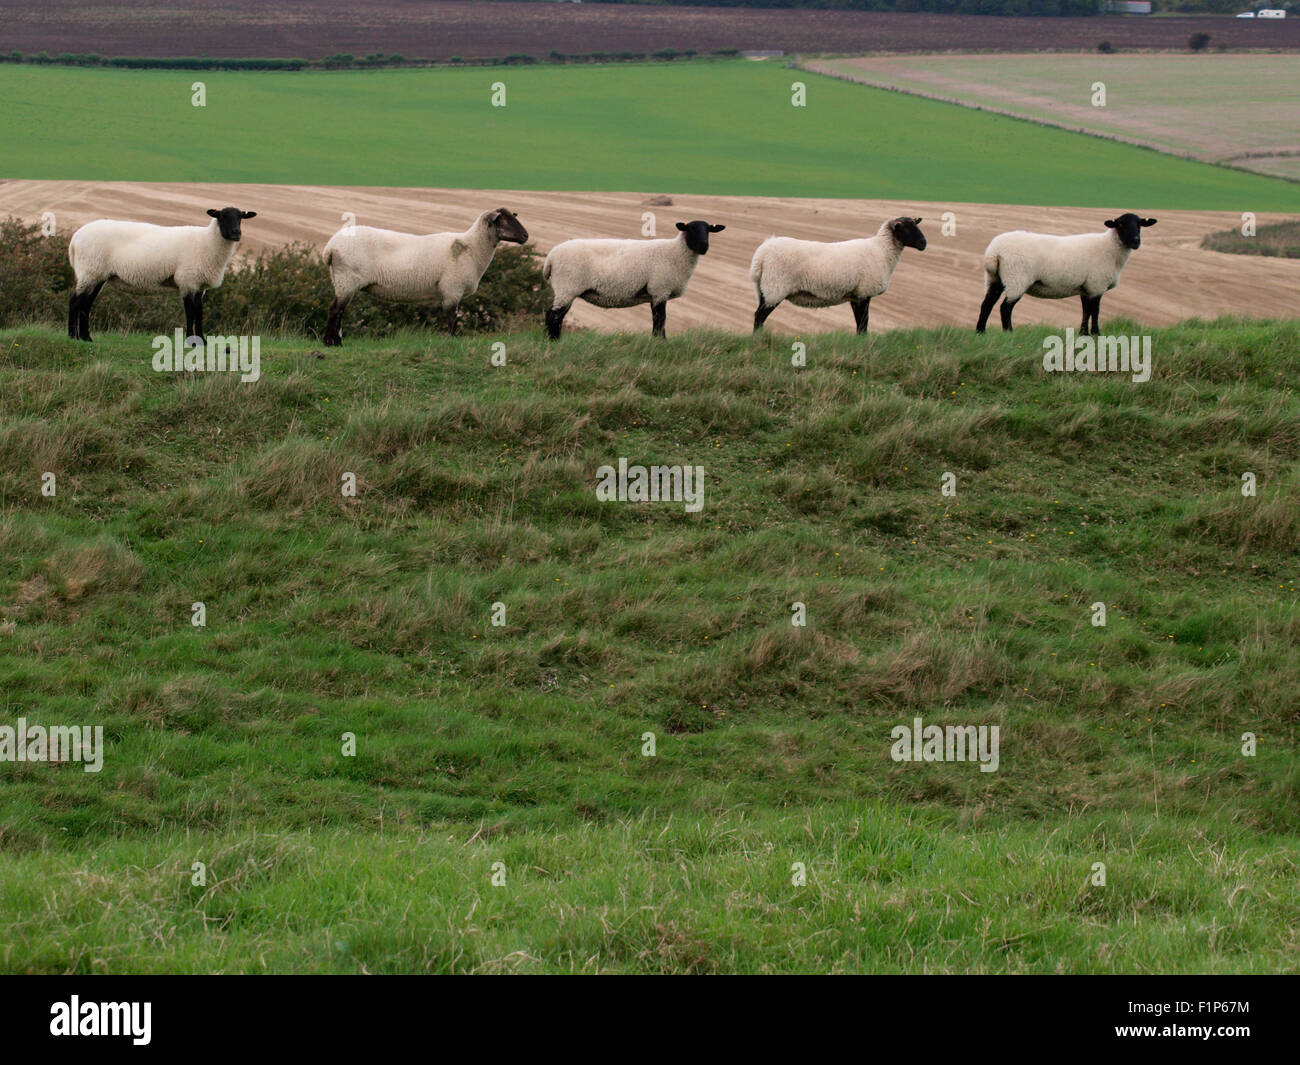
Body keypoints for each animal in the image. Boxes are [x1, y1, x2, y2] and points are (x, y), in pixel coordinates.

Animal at [66, 207, 257, 342]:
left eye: (241, 217)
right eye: (222, 216)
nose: (236, 233)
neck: (207, 242)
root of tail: (75, 238)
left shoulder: (199, 286)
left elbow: (199, 313)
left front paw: (202, 340)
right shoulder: (187, 280)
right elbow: (190, 312)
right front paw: (191, 341)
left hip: (96, 275)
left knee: (85, 305)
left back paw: (86, 338)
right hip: (89, 271)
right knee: (75, 303)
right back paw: (72, 336)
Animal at [321, 208, 528, 346]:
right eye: (504, 221)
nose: (526, 236)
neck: (471, 247)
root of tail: (330, 247)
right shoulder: (452, 289)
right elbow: (452, 318)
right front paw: (452, 341)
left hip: (340, 279)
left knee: (338, 311)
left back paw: (335, 341)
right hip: (347, 280)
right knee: (335, 310)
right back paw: (331, 342)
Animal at [542, 220, 726, 339]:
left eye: (709, 230)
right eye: (691, 228)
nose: (704, 246)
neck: (675, 253)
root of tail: (551, 257)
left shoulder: (656, 294)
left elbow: (658, 320)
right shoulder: (659, 290)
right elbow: (660, 319)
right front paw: (660, 341)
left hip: (566, 290)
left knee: (557, 316)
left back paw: (555, 340)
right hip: (567, 287)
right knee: (552, 315)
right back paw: (553, 341)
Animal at [750, 217, 927, 335]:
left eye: (915, 225)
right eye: (906, 228)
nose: (924, 243)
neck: (882, 250)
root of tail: (762, 253)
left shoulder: (856, 295)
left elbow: (859, 323)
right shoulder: (864, 293)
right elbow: (864, 322)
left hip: (764, 289)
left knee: (758, 314)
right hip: (775, 288)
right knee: (759, 316)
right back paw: (758, 339)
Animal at [976, 213, 1157, 335]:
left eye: (1139, 224)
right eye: (1120, 225)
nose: (1135, 241)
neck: (1110, 248)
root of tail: (994, 252)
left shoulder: (1086, 288)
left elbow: (1086, 311)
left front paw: (1084, 334)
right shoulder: (1096, 285)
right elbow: (1095, 311)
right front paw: (1096, 334)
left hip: (995, 278)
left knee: (987, 304)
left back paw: (980, 332)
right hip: (1017, 278)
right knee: (1005, 308)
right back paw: (1009, 332)